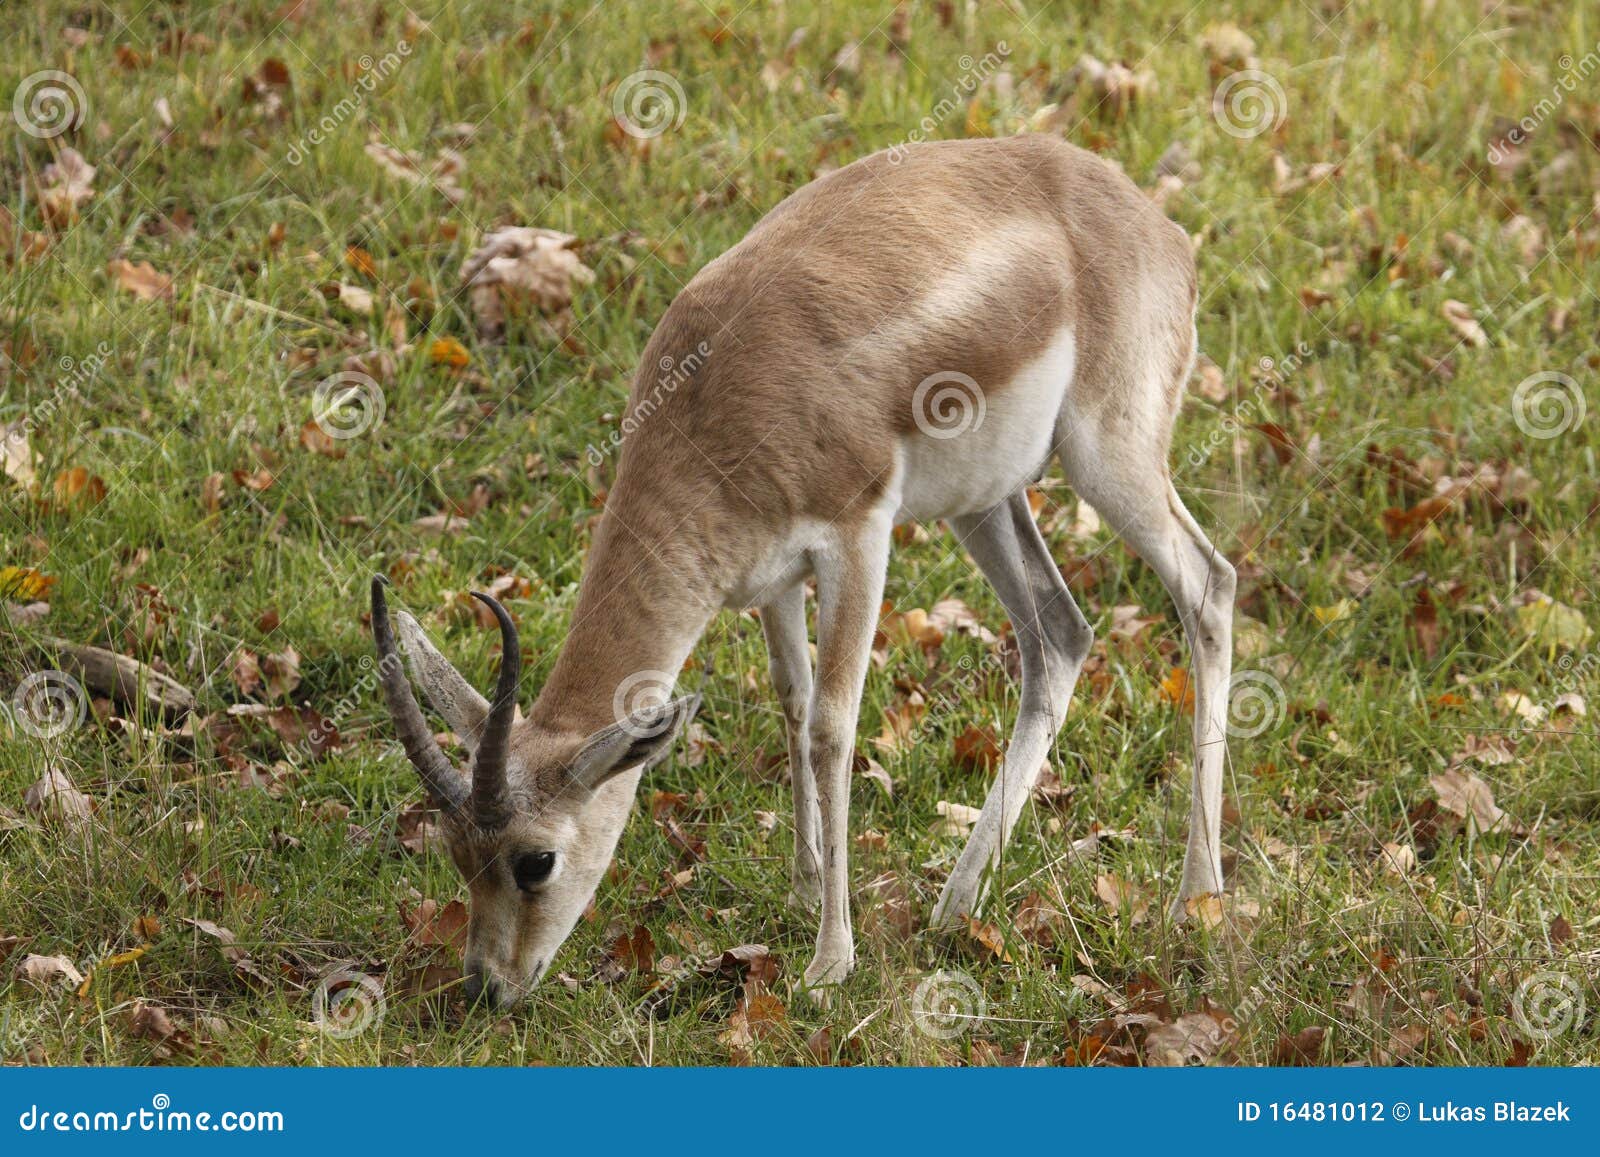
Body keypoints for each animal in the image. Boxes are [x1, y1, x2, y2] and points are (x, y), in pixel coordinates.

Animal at [371, 134, 1234, 1008]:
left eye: (534, 859)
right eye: (453, 847)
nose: (487, 986)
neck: (712, 403)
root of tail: (1158, 226)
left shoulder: (856, 537)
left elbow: (830, 724)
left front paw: (829, 960)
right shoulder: (770, 577)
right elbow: (790, 699)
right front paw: (802, 886)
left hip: (1109, 458)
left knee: (1209, 586)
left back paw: (1197, 897)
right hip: (985, 502)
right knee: (1060, 634)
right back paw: (958, 903)